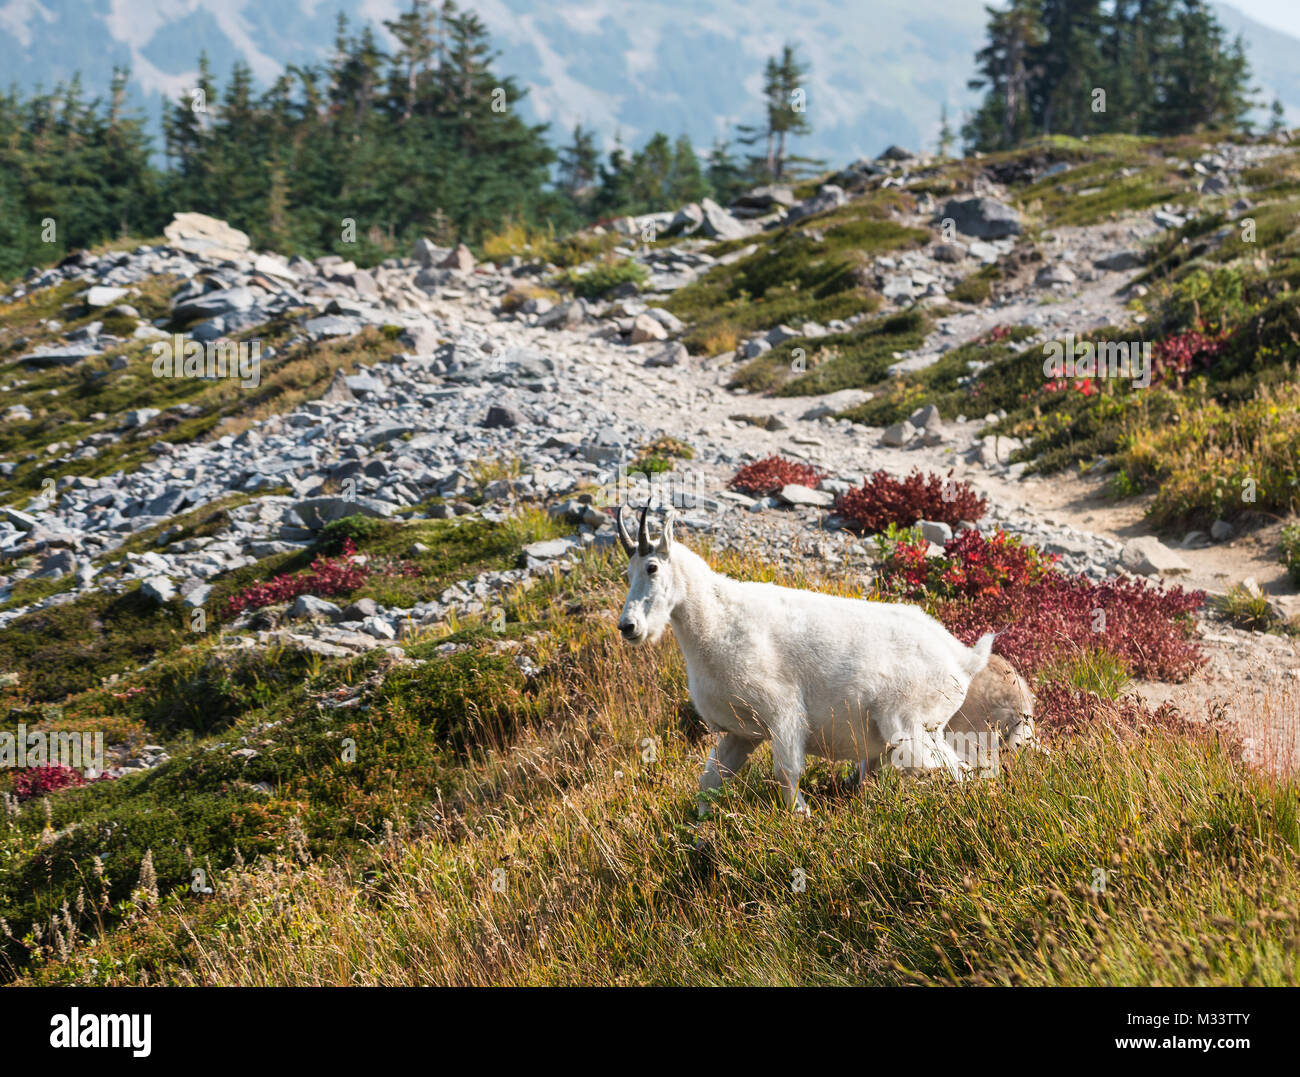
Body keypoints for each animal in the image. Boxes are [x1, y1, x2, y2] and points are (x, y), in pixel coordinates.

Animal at [614, 505, 994, 814]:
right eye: (627, 574)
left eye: (652, 567)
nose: (628, 626)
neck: (717, 620)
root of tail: (962, 659)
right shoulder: (742, 732)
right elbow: (710, 781)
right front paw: (701, 831)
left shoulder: (782, 712)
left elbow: (786, 772)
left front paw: (801, 817)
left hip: (909, 722)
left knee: (944, 767)